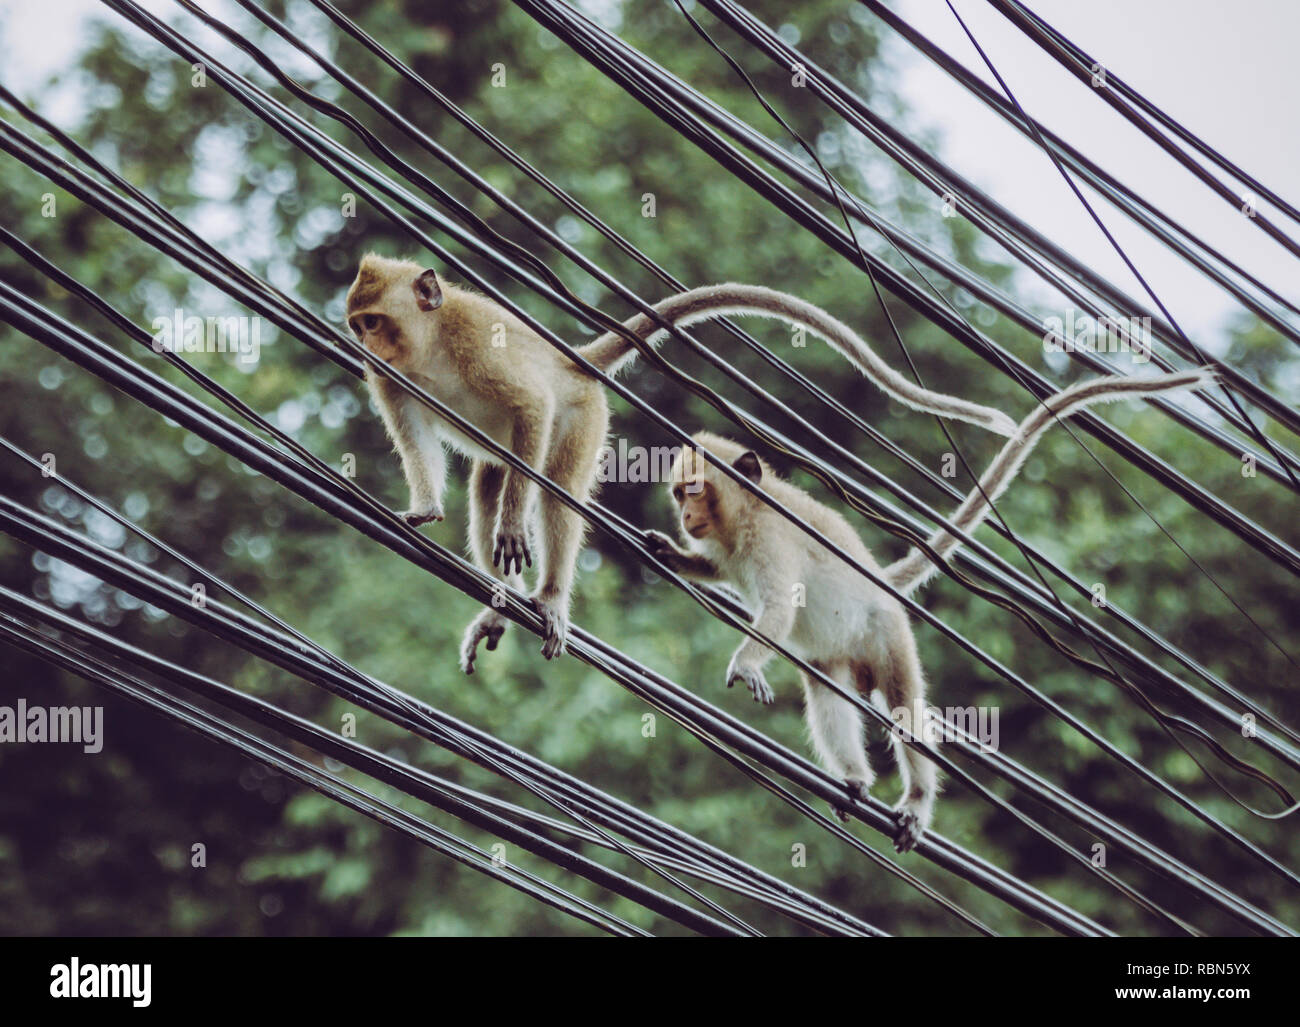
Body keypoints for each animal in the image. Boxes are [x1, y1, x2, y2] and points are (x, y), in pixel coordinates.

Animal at [345, 259, 1031, 671]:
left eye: (374, 321)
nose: (362, 340)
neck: (429, 344)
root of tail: (575, 362)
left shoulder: (474, 341)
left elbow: (529, 406)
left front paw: (516, 532)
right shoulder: (389, 375)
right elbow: (412, 434)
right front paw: (425, 507)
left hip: (582, 417)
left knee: (552, 487)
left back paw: (547, 596)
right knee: (491, 484)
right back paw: (500, 598)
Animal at [643, 367, 1214, 852]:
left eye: (696, 491)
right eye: (679, 495)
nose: (686, 516)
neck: (744, 517)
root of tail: (880, 585)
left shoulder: (772, 539)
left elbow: (783, 605)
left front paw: (745, 663)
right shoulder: (728, 548)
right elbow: (717, 569)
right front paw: (673, 555)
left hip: (886, 635)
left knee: (906, 712)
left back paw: (916, 799)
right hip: (838, 656)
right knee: (828, 692)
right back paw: (854, 777)